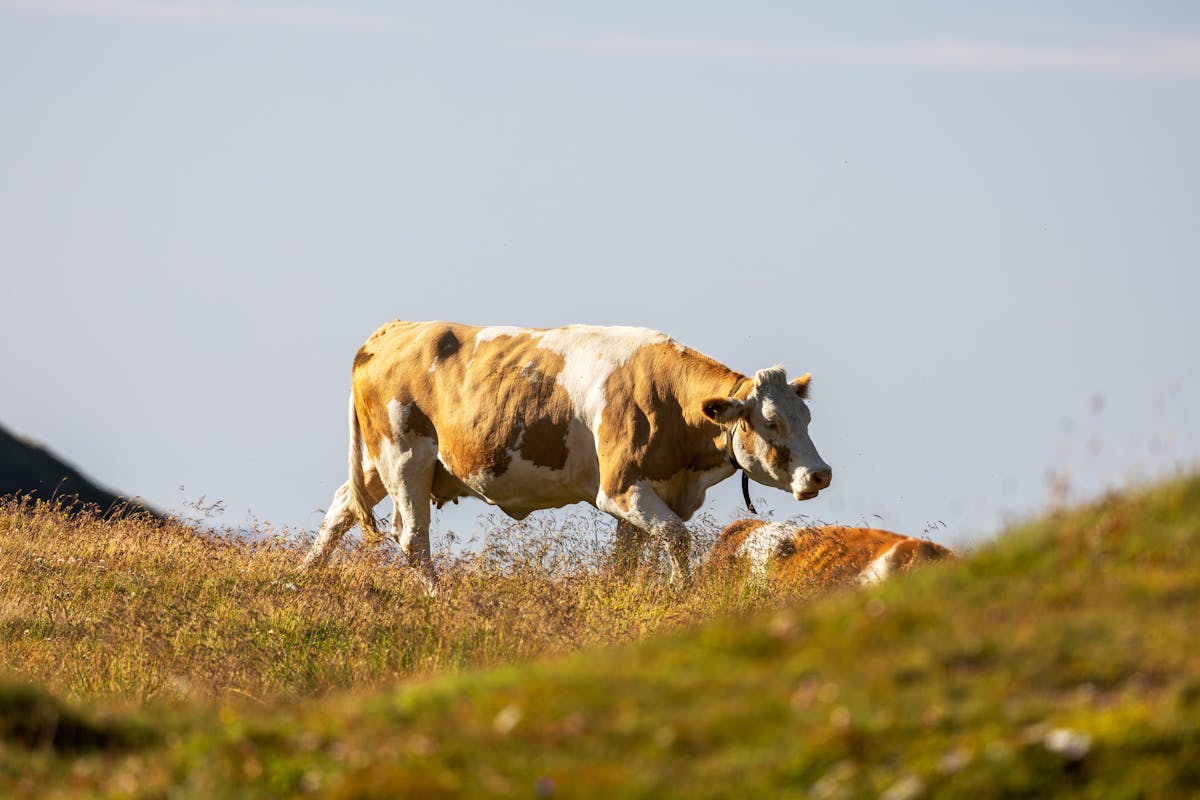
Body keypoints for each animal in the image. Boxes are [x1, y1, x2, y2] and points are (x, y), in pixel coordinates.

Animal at [302, 321, 832, 585]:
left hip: (378, 462)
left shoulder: (647, 496)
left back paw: (303, 579)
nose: (820, 474)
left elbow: (627, 559)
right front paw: (686, 595)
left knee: (342, 506)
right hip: (404, 457)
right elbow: (678, 539)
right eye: (771, 421)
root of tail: (393, 329)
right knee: (412, 540)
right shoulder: (619, 489)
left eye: (807, 417)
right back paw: (440, 598)